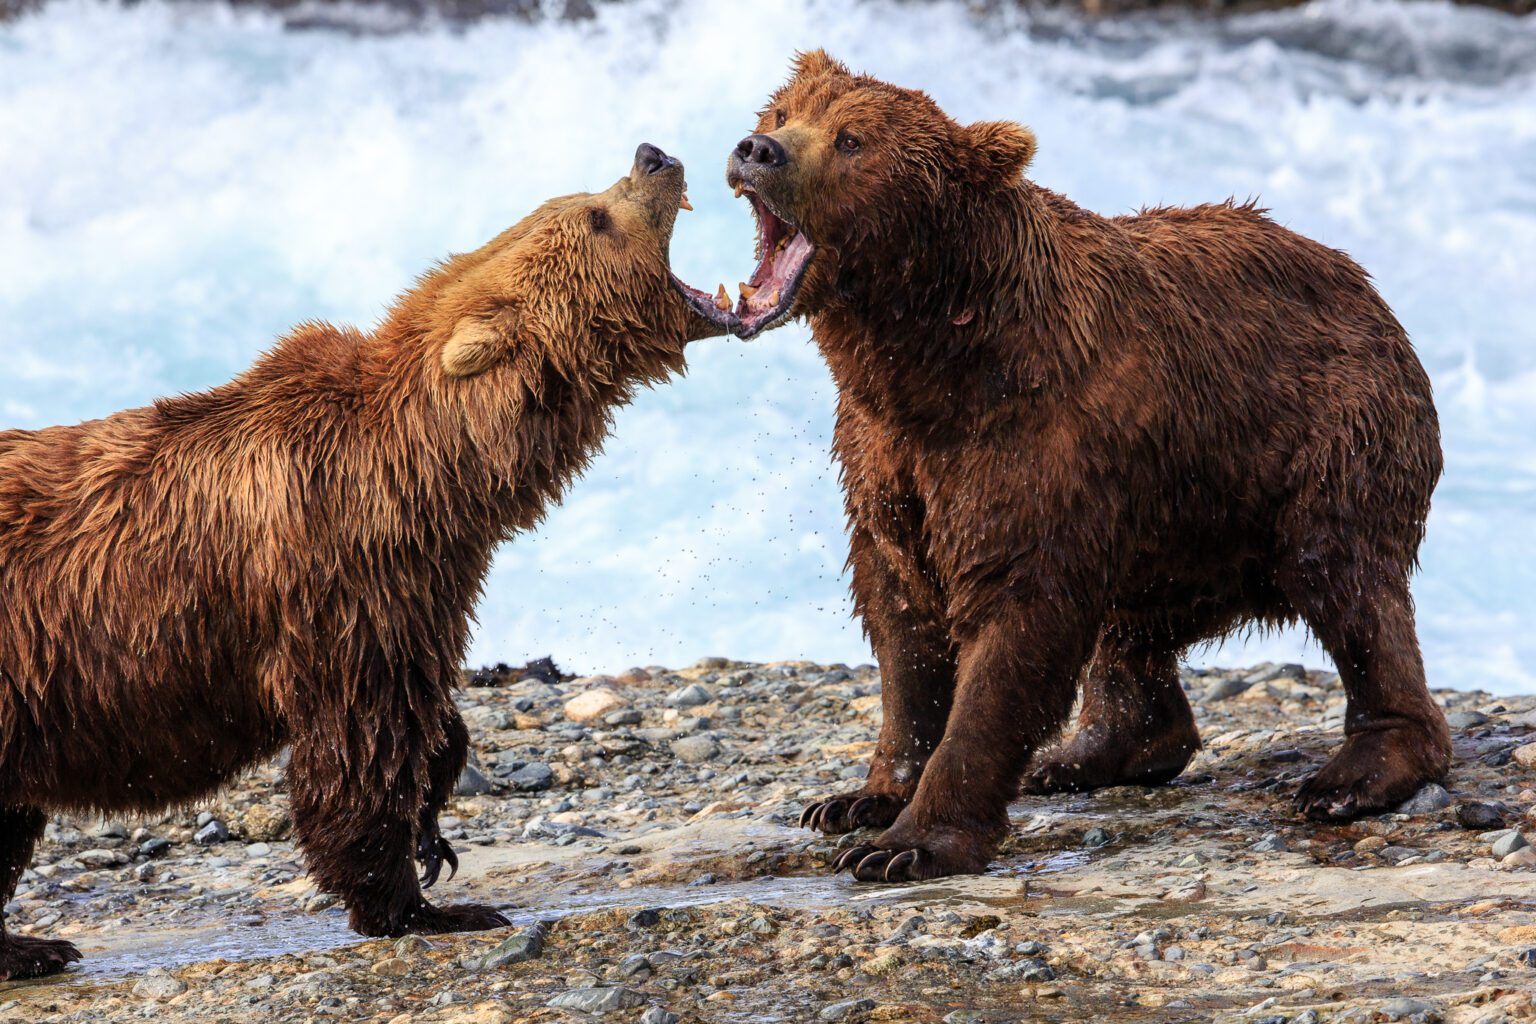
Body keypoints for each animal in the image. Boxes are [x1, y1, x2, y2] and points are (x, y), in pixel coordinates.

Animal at [0, 143, 720, 979]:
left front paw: (437, 817)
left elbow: (426, 715)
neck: (423, 473)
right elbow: (358, 746)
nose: (654, 156)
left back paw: (29, 944)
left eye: (580, 197)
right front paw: (422, 904)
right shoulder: (340, 579)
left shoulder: (426, 580)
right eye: (597, 214)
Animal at [714, 51, 1447, 882]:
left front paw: (910, 842)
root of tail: (1365, 284)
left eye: (851, 140)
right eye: (784, 113)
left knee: (1347, 582)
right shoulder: (882, 455)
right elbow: (901, 615)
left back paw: (1356, 773)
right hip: (1168, 495)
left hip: (1324, 431)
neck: (928, 356)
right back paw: (1089, 752)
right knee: (1131, 622)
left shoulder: (1028, 440)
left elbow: (1015, 617)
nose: (758, 151)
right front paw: (857, 798)